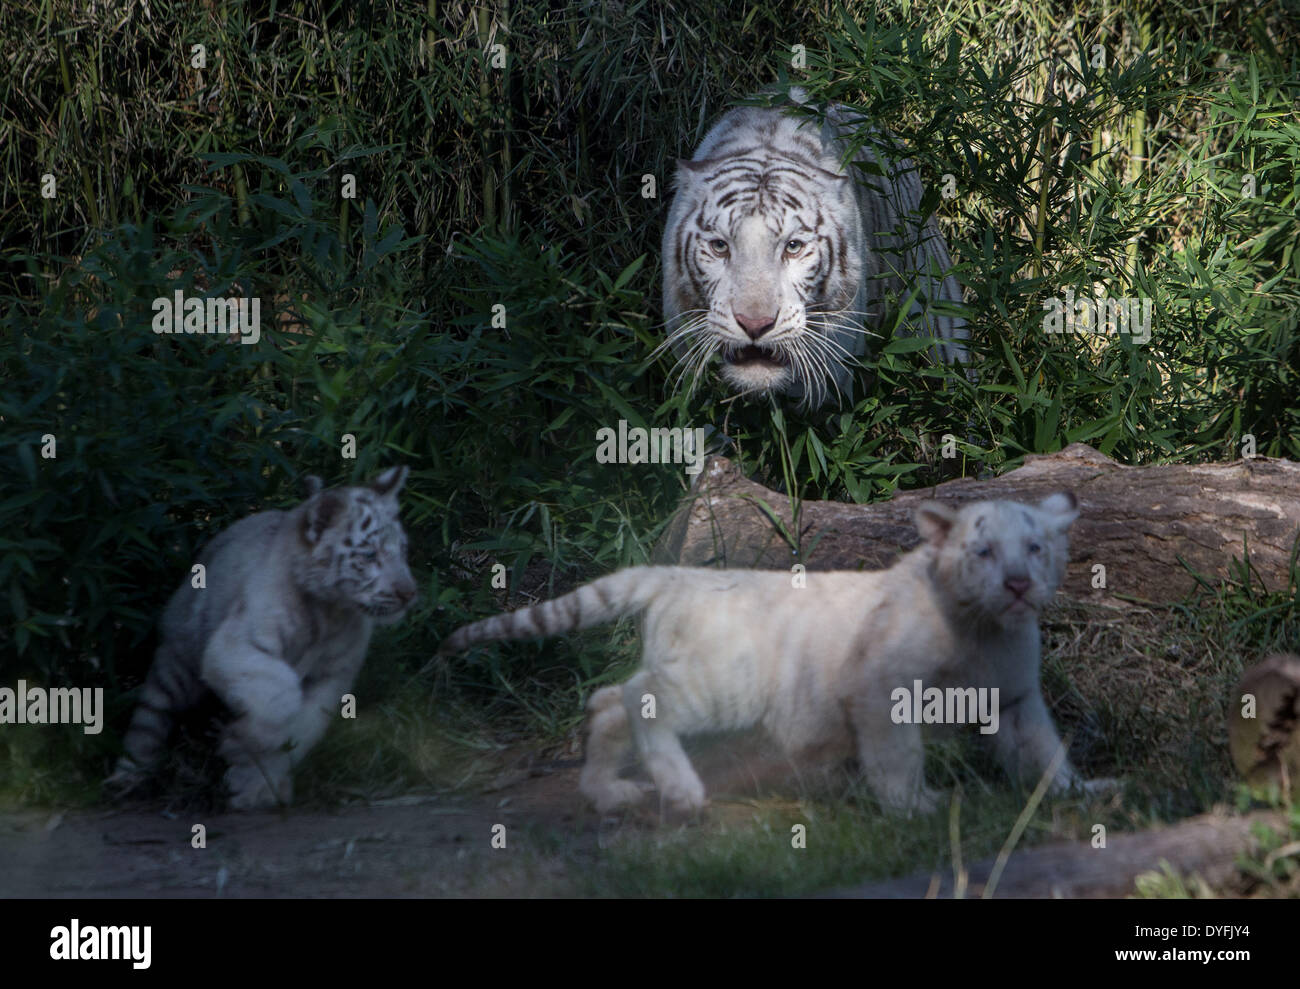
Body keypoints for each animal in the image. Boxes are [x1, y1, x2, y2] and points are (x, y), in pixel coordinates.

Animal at [107, 466, 418, 810]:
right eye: (370, 555)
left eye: (403, 550)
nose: (408, 593)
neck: (330, 610)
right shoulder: (236, 646)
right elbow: (279, 695)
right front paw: (242, 744)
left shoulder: (332, 676)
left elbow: (306, 725)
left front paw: (257, 785)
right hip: (179, 658)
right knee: (151, 714)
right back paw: (128, 777)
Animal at [439, 492, 1116, 818]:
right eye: (983, 552)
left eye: (1035, 548)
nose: (1018, 585)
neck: (985, 628)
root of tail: (674, 575)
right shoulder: (881, 687)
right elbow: (898, 755)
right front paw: (915, 808)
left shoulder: (1016, 696)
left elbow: (1045, 750)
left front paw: (1080, 792)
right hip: (715, 683)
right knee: (636, 696)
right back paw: (682, 793)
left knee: (607, 701)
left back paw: (609, 793)